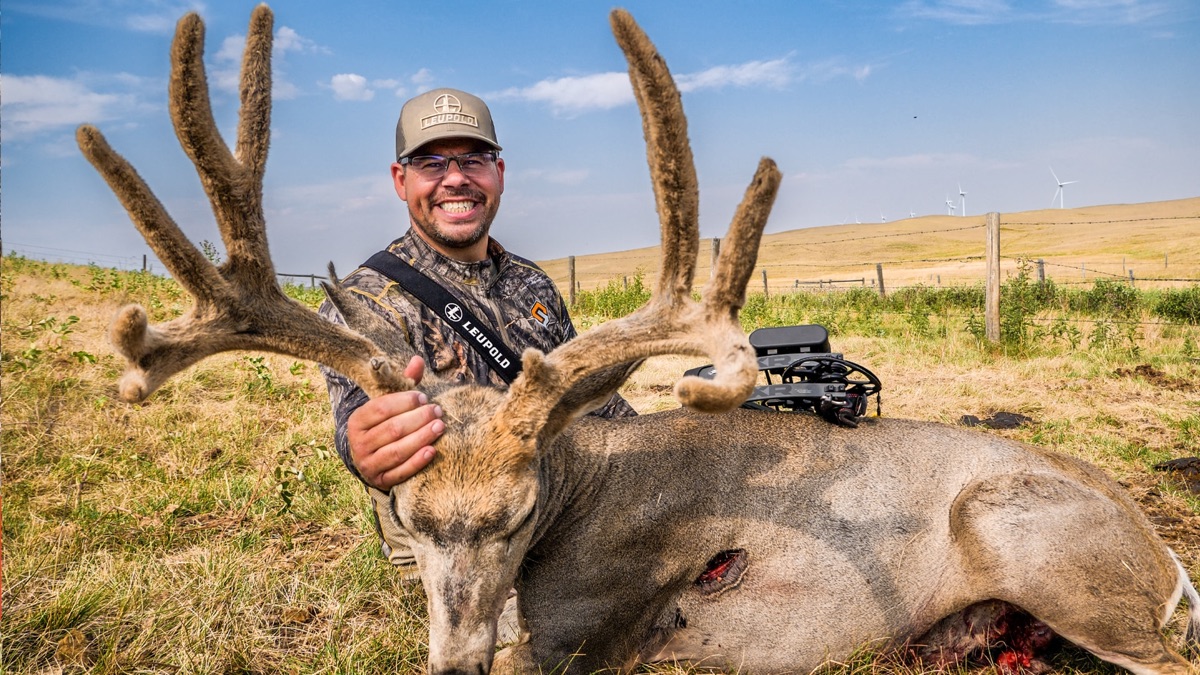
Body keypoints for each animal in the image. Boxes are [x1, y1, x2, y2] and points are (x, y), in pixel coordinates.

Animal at [77, 5, 1200, 675]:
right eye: (411, 515)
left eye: (518, 516)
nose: (457, 662)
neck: (582, 490)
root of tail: (1164, 557)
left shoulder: (594, 622)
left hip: (1036, 545)